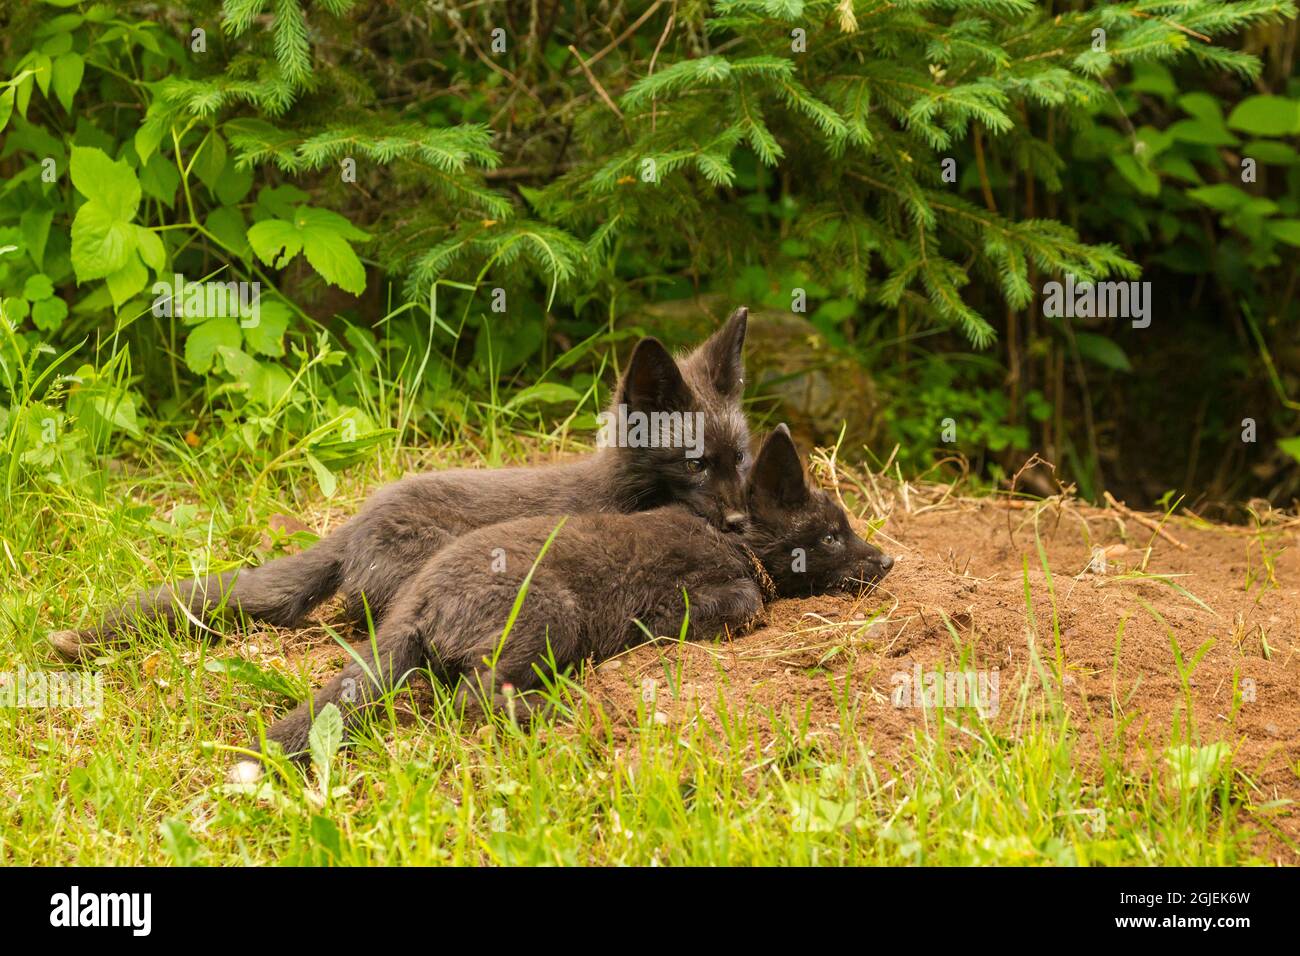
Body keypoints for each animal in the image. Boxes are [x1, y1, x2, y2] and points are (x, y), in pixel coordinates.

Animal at [247, 424, 893, 767]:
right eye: (831, 536)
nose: (889, 561)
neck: (732, 540)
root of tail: (418, 600)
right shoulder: (683, 596)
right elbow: (742, 603)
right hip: (552, 618)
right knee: (471, 698)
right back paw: (558, 708)